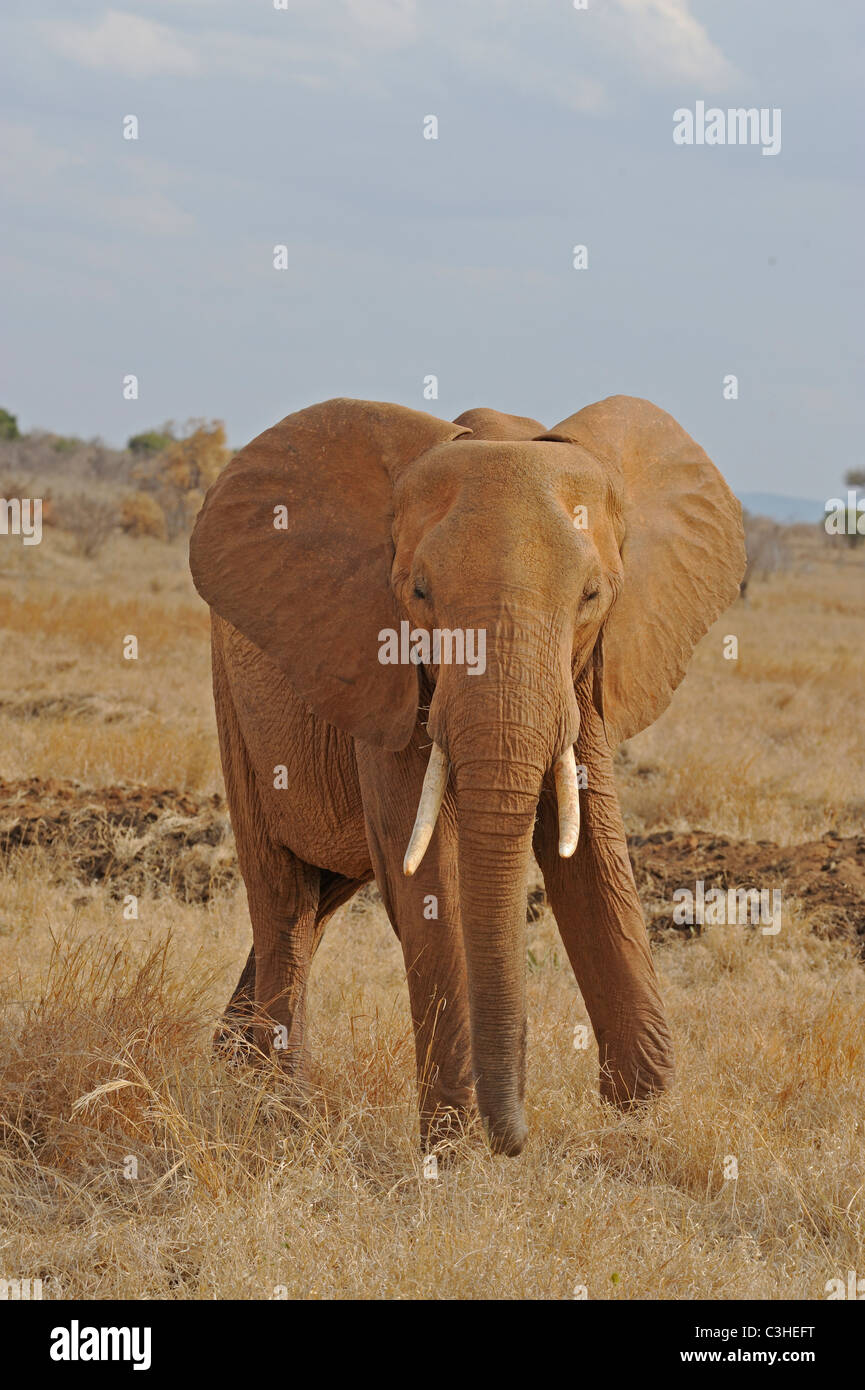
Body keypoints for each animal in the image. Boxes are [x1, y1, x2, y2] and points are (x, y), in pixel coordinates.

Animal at [189, 395, 745, 1156]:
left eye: (592, 596)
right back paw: (278, 1111)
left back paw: (230, 1070)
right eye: (419, 593)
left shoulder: (585, 677)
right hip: (235, 703)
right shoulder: (384, 667)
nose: (516, 1137)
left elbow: (594, 859)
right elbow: (431, 877)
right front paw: (452, 1153)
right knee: (285, 899)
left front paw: (647, 1123)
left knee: (320, 898)